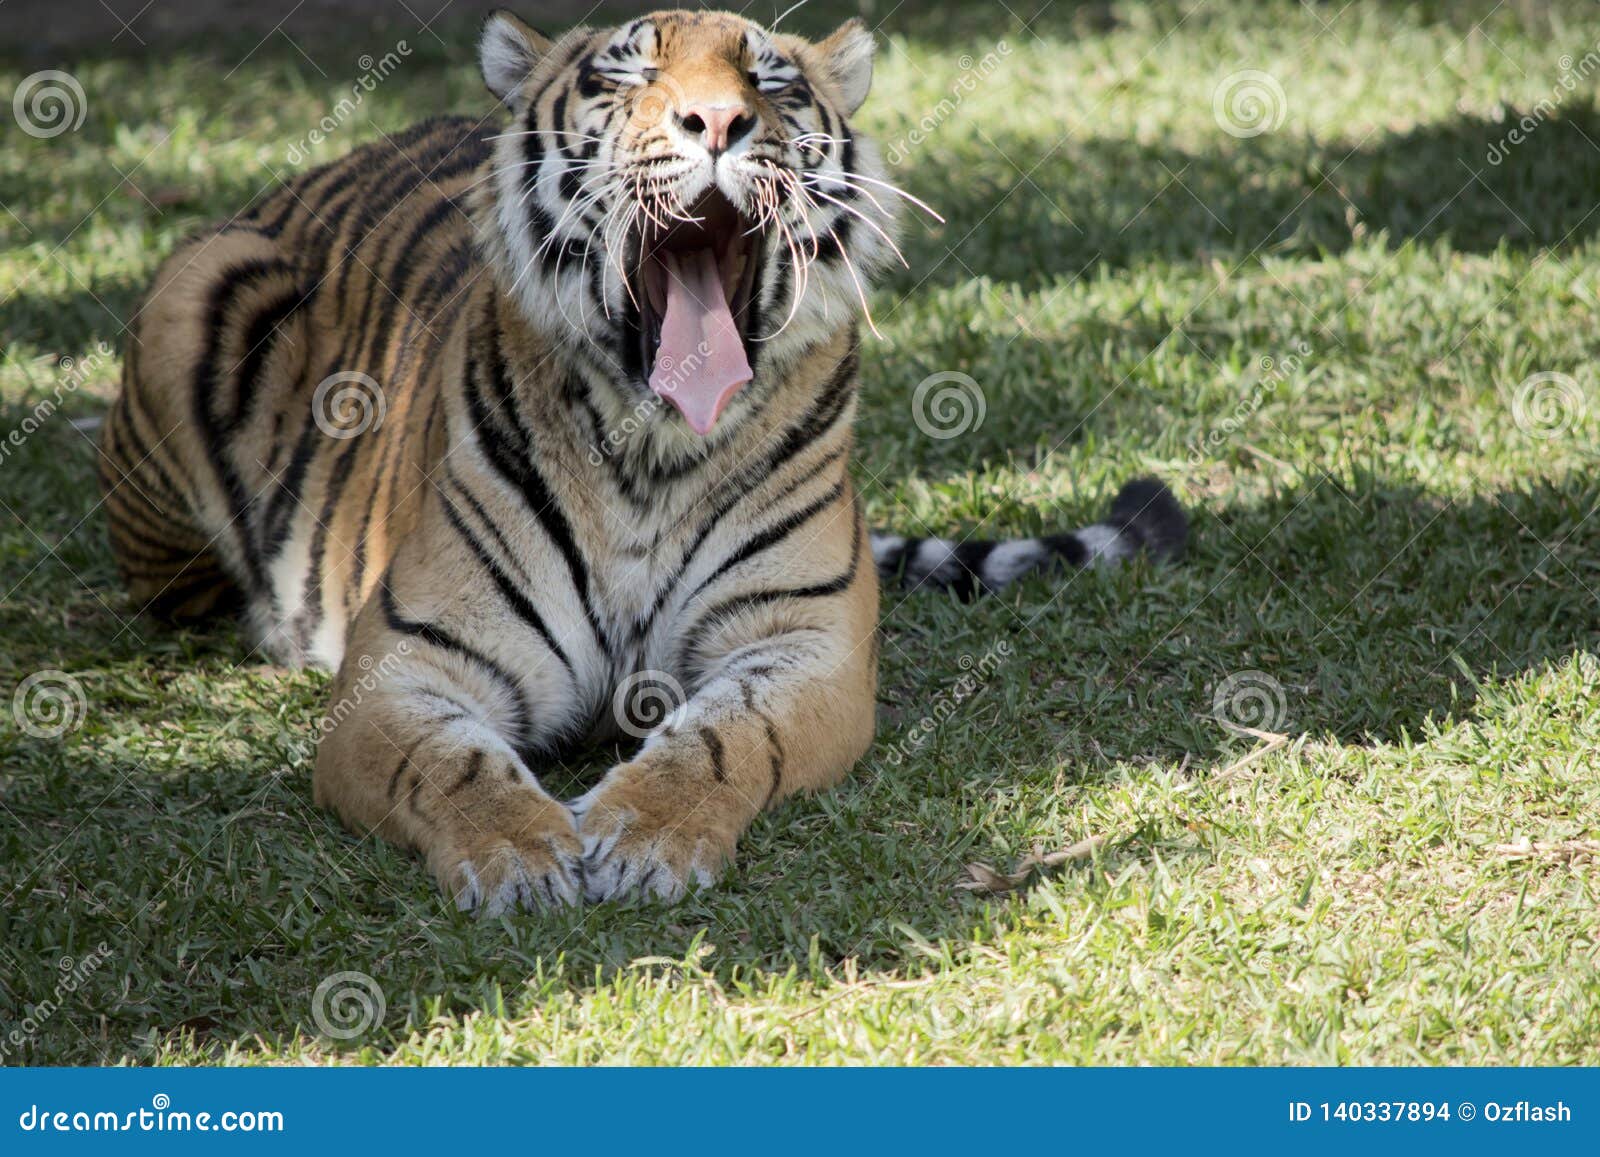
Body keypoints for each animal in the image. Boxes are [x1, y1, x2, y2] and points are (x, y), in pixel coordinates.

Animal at [99, 8, 1187, 913]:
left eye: (771, 78)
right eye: (625, 73)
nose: (719, 121)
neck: (652, 455)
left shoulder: (804, 644)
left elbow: (720, 737)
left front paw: (640, 834)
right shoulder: (407, 660)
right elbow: (452, 762)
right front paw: (520, 854)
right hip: (195, 292)